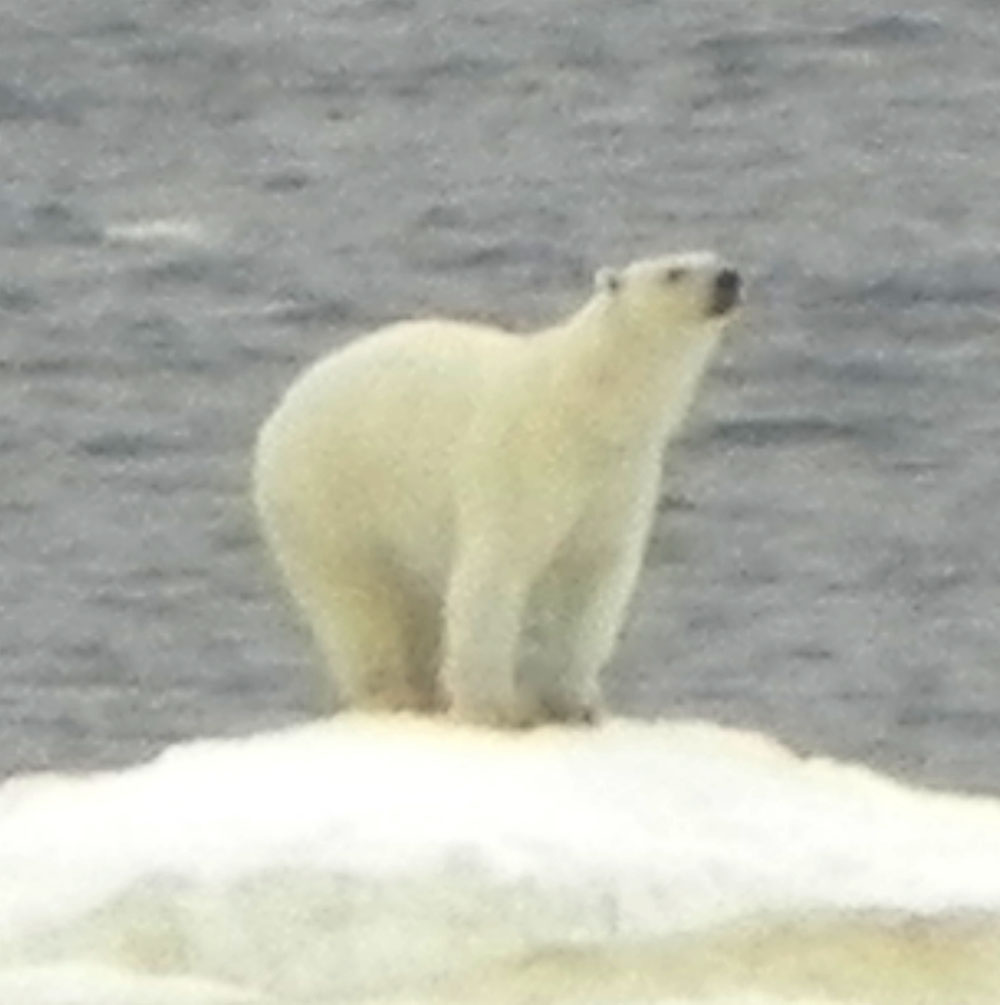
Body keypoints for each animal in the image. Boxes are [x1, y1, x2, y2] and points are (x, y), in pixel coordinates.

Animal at [253, 251, 742, 727]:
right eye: (674, 271)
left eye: (713, 255)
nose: (729, 278)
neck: (586, 405)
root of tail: (276, 419)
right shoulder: (519, 460)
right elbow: (493, 575)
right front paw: (499, 709)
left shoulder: (618, 481)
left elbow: (591, 581)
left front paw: (577, 705)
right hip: (331, 497)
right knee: (358, 603)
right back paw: (394, 693)